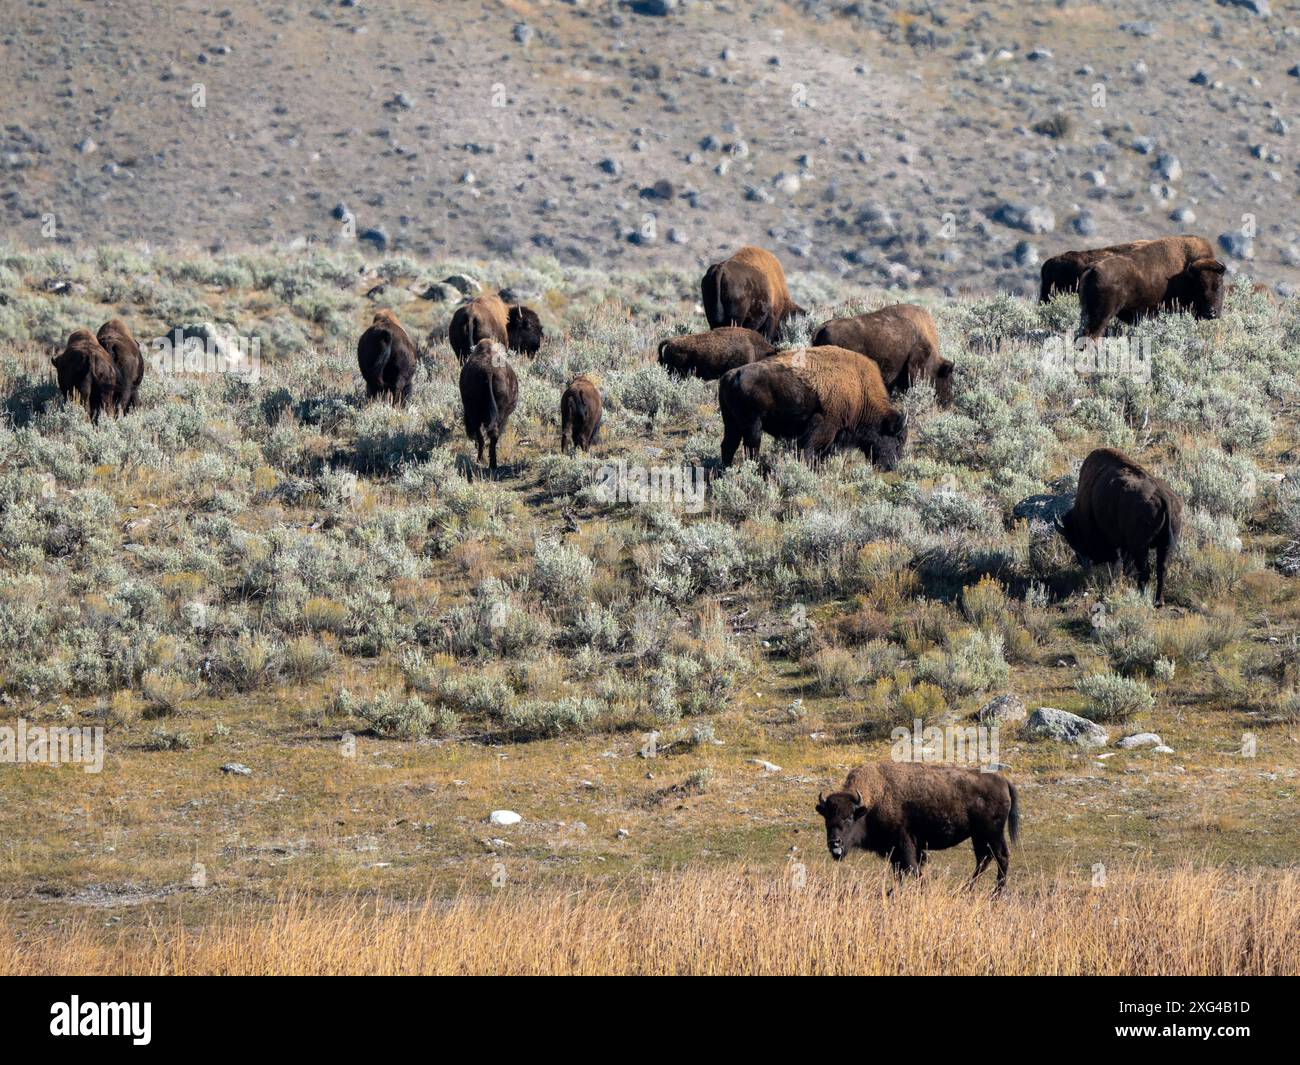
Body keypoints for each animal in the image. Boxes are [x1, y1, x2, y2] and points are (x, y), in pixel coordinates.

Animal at [458, 340, 518, 474]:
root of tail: (488, 371)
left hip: (474, 414)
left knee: (483, 435)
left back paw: (483, 460)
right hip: (494, 414)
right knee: (491, 434)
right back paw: (491, 463)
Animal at [718, 346, 906, 469]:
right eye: (897, 441)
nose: (892, 467)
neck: (860, 389)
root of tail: (732, 375)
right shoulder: (823, 428)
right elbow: (809, 451)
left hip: (732, 423)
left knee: (728, 446)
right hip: (753, 425)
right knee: (751, 448)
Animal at [816, 762, 1019, 893]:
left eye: (849, 818)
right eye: (827, 817)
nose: (834, 843)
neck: (872, 801)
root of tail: (1003, 781)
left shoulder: (904, 844)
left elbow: (913, 869)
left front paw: (922, 890)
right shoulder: (895, 851)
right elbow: (899, 872)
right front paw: (894, 892)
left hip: (991, 833)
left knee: (1000, 857)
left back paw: (995, 893)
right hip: (979, 836)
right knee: (984, 859)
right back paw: (967, 890)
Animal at [1056, 447, 1182, 606]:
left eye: (1074, 540)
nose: (1082, 562)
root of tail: (1163, 496)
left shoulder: (1115, 543)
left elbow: (1117, 564)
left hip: (1141, 548)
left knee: (1145, 572)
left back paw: (1141, 596)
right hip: (1166, 546)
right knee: (1162, 570)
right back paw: (1157, 602)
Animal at [1078, 235, 1224, 340]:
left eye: (1219, 285)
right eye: (1199, 287)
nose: (1212, 312)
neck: (1187, 274)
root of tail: (1093, 268)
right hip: (1102, 315)